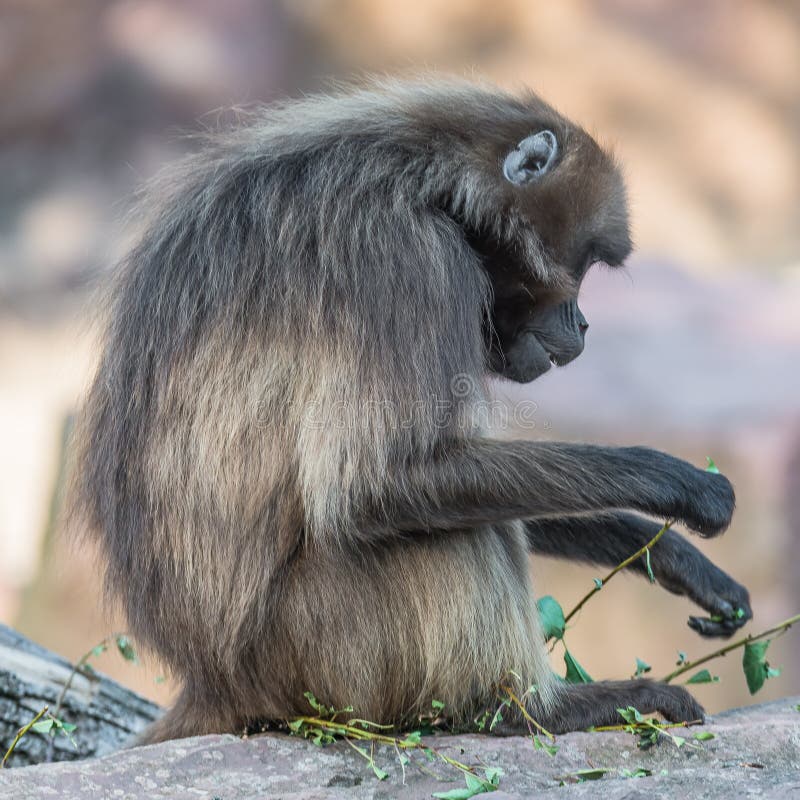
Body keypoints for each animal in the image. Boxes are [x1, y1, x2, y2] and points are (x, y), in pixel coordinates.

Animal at [70, 79, 751, 744]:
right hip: (317, 655)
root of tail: (213, 681)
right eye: (580, 269)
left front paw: (672, 556)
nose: (583, 325)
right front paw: (678, 485)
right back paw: (534, 710)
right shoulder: (406, 258)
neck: (431, 187)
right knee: (439, 526)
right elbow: (377, 486)